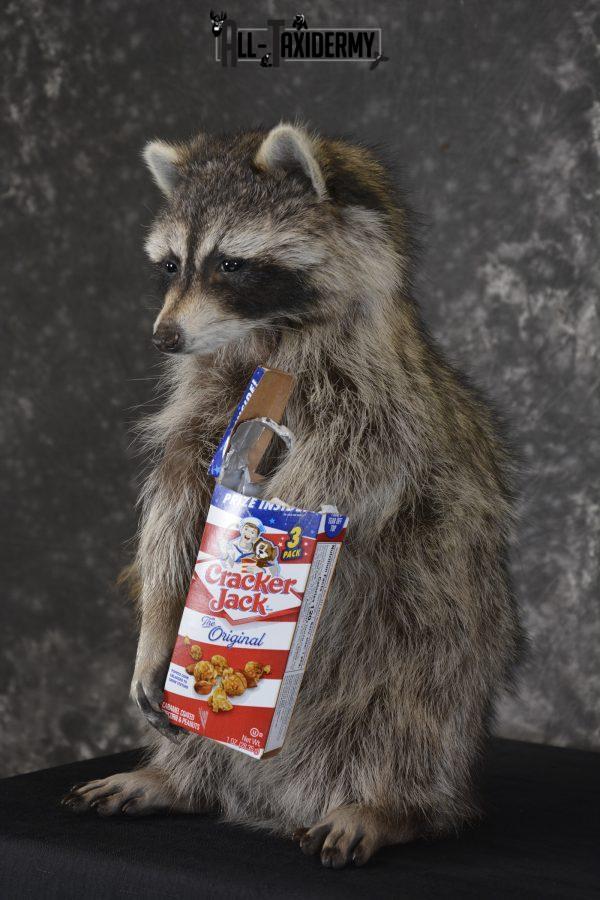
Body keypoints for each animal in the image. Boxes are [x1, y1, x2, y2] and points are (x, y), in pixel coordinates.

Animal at [63, 124, 522, 868]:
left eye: (230, 263)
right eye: (171, 265)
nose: (164, 336)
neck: (268, 332)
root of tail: (272, 802)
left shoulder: (377, 398)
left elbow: (351, 477)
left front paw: (270, 551)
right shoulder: (210, 392)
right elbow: (177, 497)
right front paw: (161, 620)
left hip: (433, 630)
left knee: (414, 706)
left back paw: (387, 804)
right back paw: (178, 774)